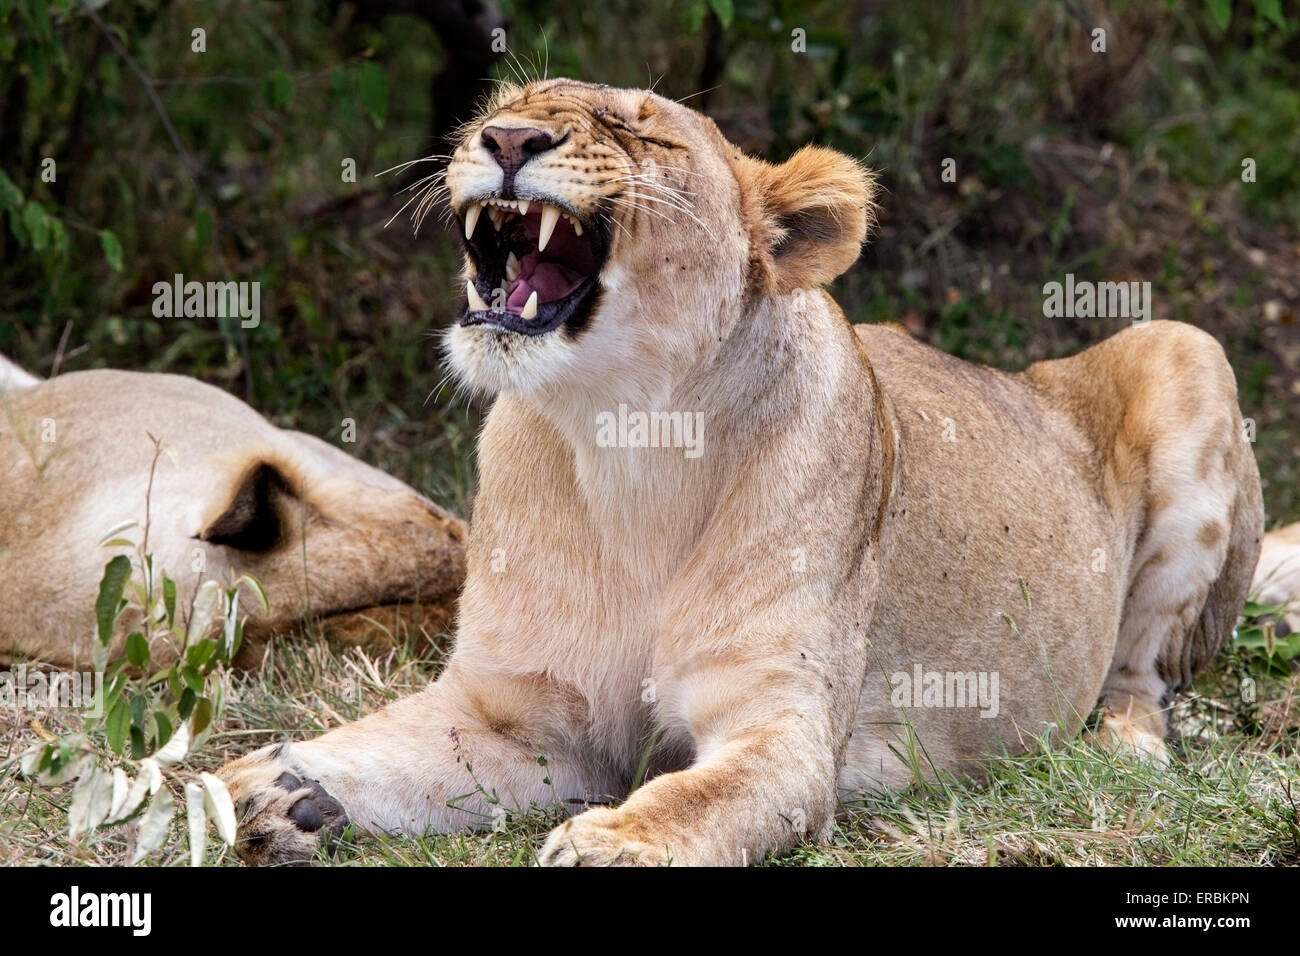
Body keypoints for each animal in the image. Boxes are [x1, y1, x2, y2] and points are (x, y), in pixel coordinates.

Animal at [218, 79, 1263, 866]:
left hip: (1189, 349)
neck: (628, 444)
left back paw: (1124, 750)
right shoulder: (531, 726)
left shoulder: (783, 731)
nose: (505, 138)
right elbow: (394, 744)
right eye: (504, 104)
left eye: (640, 127)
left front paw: (612, 846)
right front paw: (278, 787)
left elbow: (698, 798)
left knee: (1142, 676)